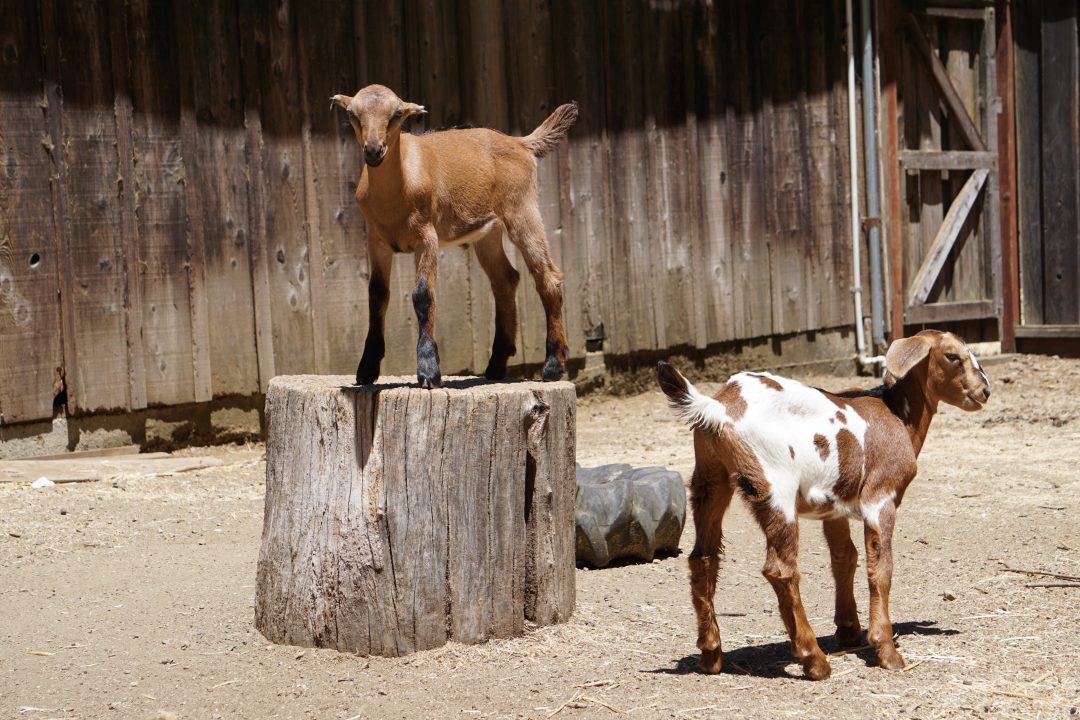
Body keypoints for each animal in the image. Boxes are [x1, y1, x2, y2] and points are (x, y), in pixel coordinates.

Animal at [330, 84, 578, 388]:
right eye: (352, 114)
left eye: (397, 114)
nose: (375, 150)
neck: (397, 191)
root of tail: (521, 143)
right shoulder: (377, 241)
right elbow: (377, 295)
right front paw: (366, 370)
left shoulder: (426, 236)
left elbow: (423, 294)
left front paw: (428, 371)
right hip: (488, 233)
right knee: (505, 280)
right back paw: (495, 365)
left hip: (522, 209)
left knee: (548, 278)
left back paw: (553, 366)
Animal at [656, 330, 991, 680]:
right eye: (953, 356)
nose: (985, 391)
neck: (898, 416)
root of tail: (718, 408)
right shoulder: (880, 496)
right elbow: (881, 568)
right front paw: (886, 650)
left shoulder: (835, 505)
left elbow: (845, 558)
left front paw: (848, 630)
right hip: (775, 487)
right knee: (780, 570)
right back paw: (813, 659)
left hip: (710, 480)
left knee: (703, 558)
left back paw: (711, 654)